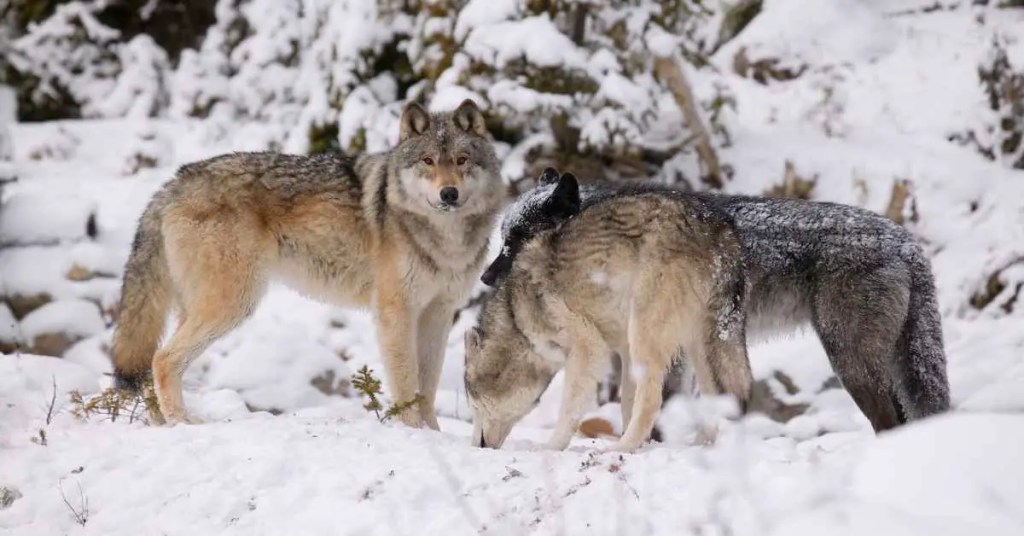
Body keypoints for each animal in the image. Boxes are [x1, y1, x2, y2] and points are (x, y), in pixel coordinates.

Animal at [111, 100, 505, 428]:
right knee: (162, 360)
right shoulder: (397, 312)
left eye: (462, 160)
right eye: (428, 161)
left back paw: (161, 424)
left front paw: (433, 434)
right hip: (232, 304)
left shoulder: (439, 313)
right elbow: (408, 385)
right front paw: (413, 434)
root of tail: (173, 183)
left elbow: (428, 387)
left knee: (156, 362)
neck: (443, 238)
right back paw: (182, 423)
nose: (449, 194)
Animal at [464, 172, 753, 451]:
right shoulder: (622, 350)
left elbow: (570, 410)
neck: (517, 316)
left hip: (646, 335)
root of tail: (722, 233)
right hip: (700, 347)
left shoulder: (589, 348)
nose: (476, 446)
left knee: (653, 400)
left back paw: (620, 448)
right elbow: (625, 403)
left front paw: (550, 448)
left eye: (472, 402)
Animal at [481, 170, 950, 436]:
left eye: (516, 243)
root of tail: (905, 241)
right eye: (502, 239)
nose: (484, 278)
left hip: (849, 360)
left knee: (889, 421)